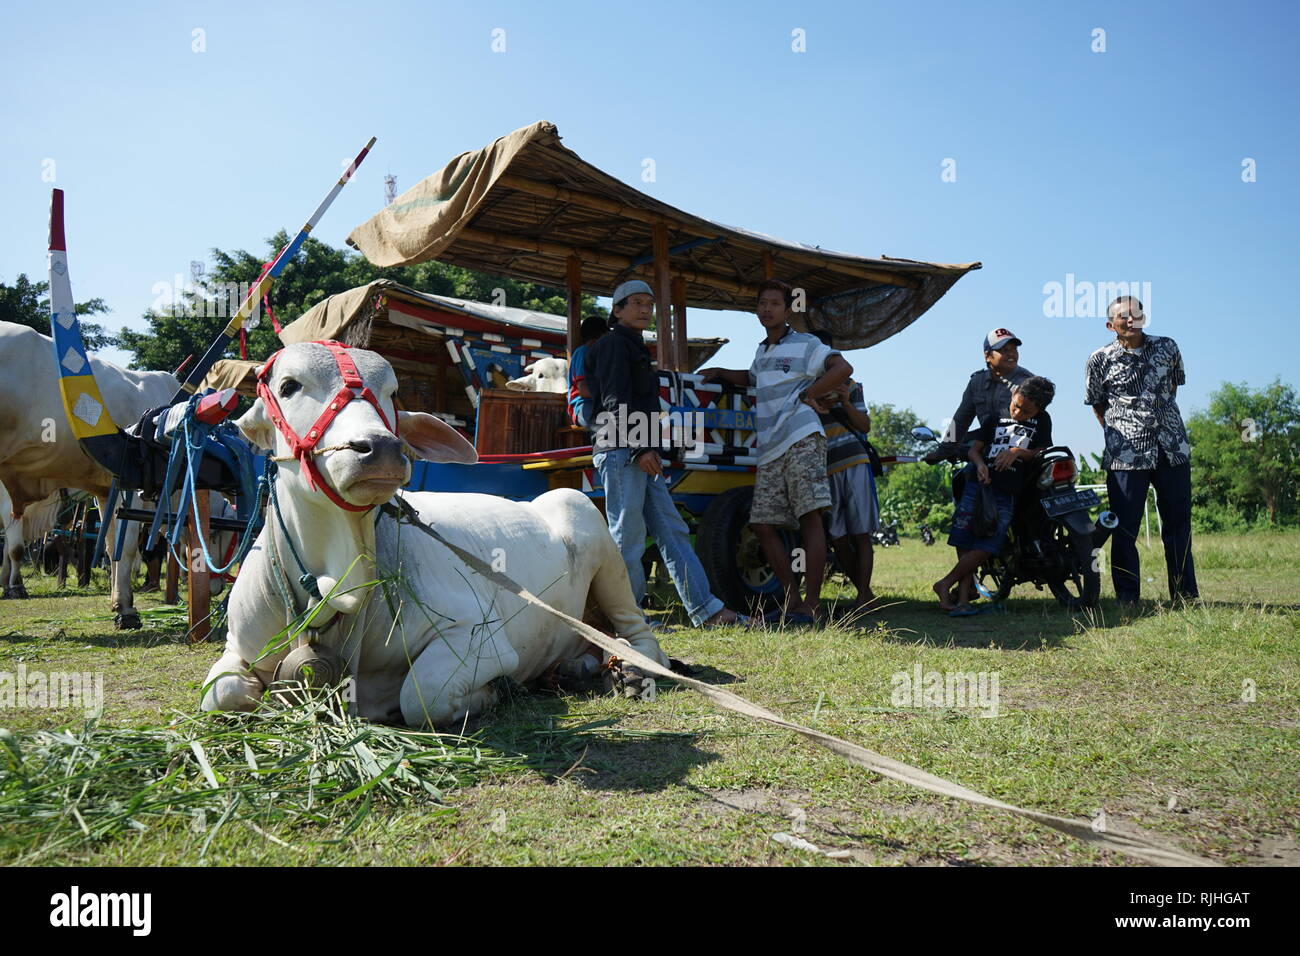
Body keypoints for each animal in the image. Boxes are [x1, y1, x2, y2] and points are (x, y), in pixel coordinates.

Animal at [201, 342, 669, 726]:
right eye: (289, 386)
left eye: (391, 393)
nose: (380, 448)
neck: (333, 575)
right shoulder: (237, 645)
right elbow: (221, 693)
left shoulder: (480, 635)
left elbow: (422, 695)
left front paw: (492, 693)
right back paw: (581, 668)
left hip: (595, 534)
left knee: (640, 632)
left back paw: (632, 670)